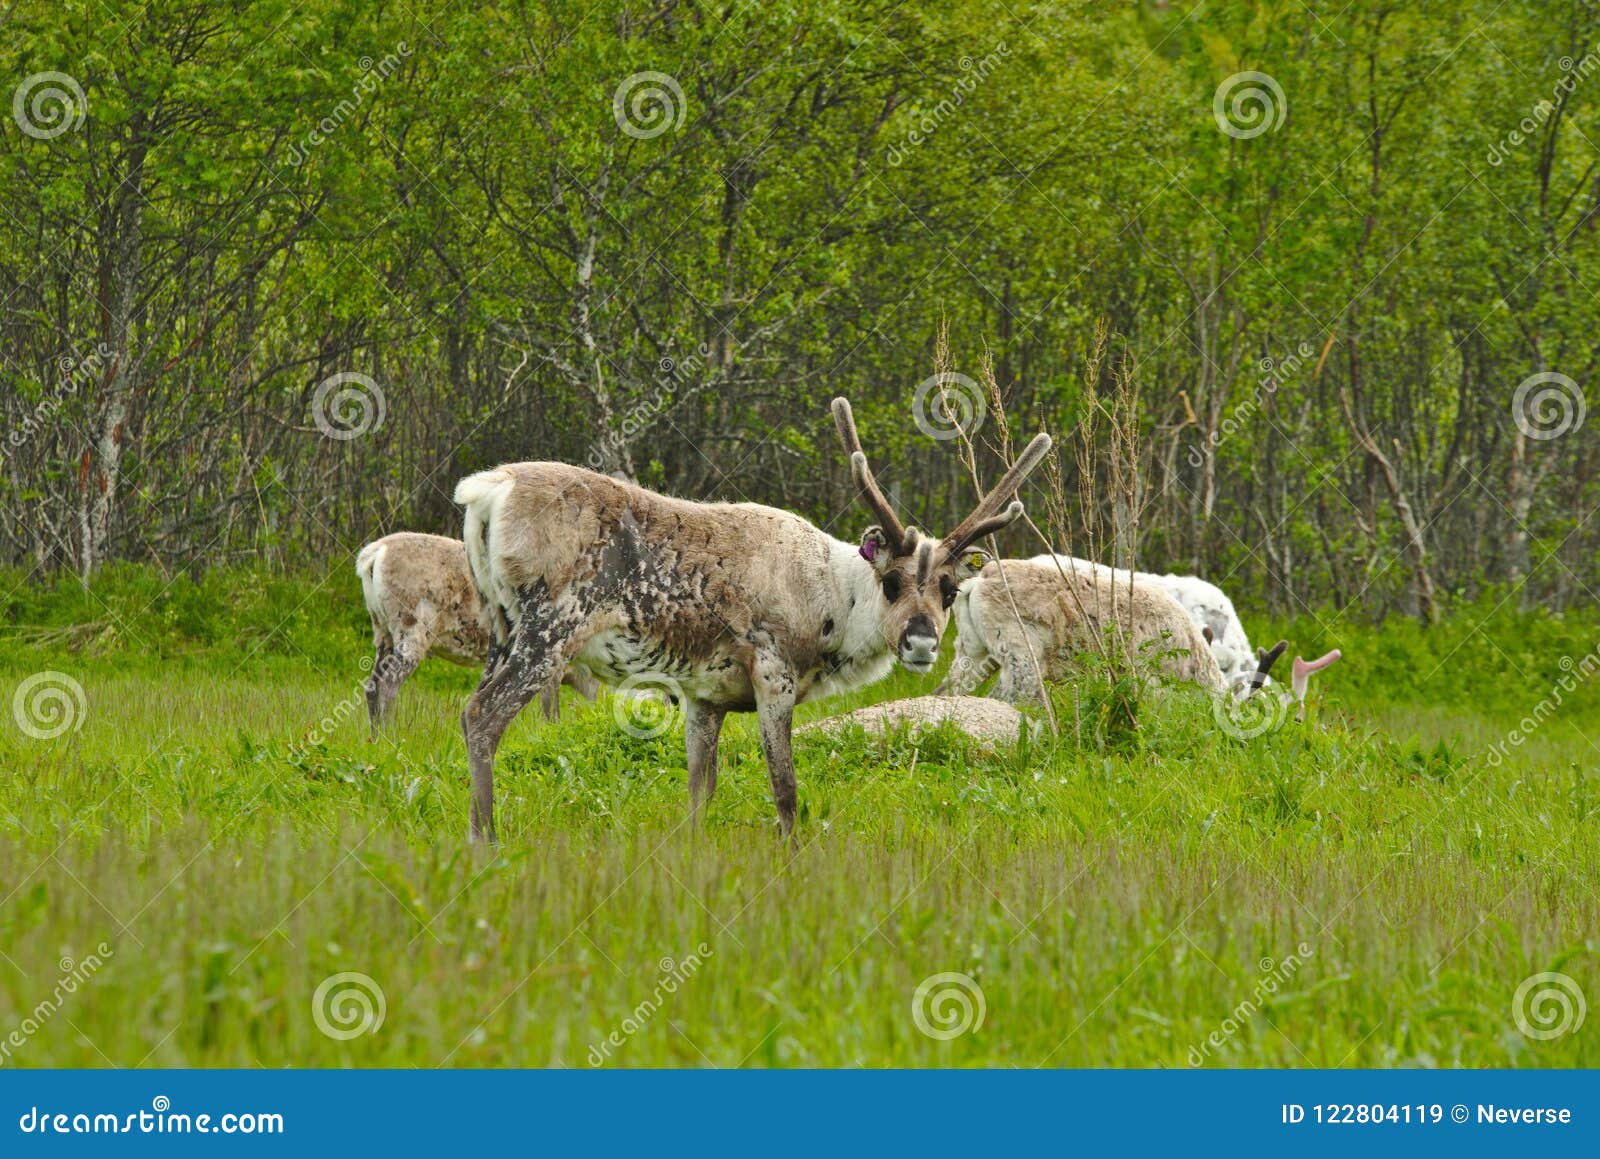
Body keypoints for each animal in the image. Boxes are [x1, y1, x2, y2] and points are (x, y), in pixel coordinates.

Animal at [356, 532, 597, 735]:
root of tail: (374, 555)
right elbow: (550, 708)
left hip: (382, 633)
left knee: (372, 686)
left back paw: (376, 738)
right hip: (411, 629)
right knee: (388, 684)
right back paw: (392, 735)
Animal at [451, 397, 1053, 842]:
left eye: (949, 591)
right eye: (891, 583)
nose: (922, 643)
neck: (832, 602)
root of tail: (487, 492)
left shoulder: (705, 697)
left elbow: (701, 788)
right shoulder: (773, 672)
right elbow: (785, 789)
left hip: (501, 627)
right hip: (550, 627)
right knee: (482, 715)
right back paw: (486, 838)